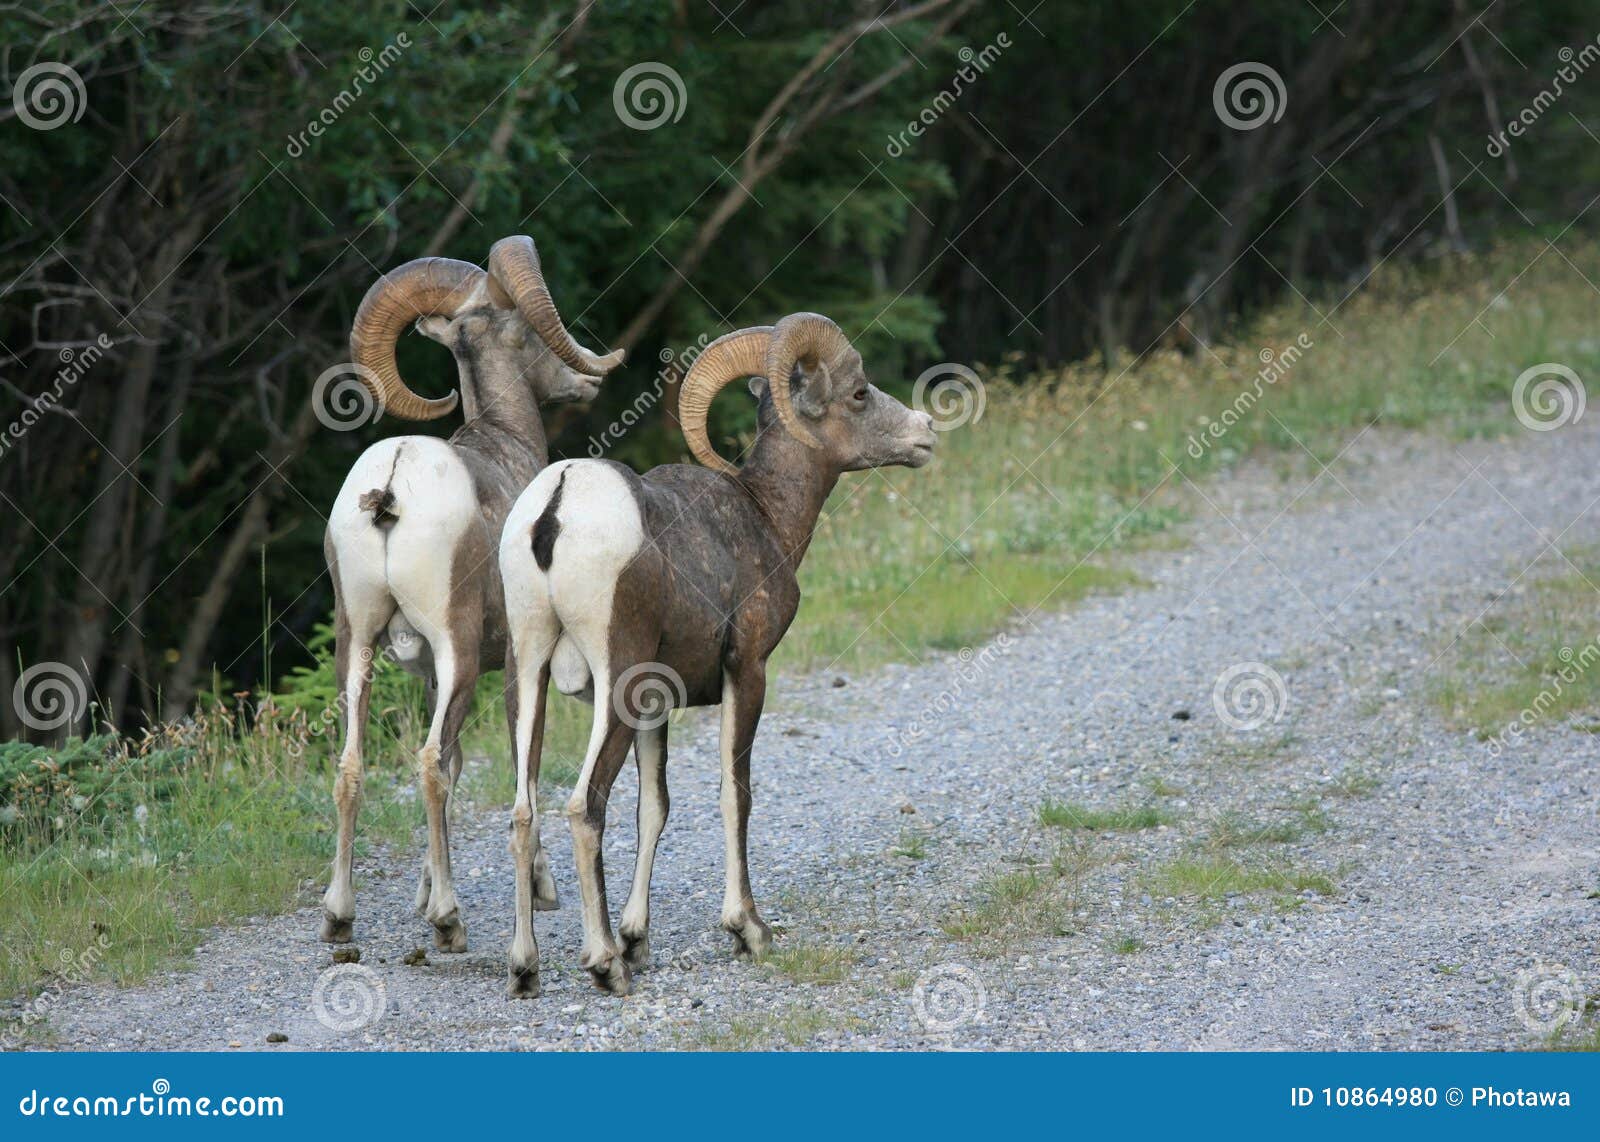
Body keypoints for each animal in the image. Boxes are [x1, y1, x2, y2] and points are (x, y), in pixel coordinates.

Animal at [320, 236, 624, 951]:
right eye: (535, 334)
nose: (587, 381)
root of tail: (390, 487)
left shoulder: (428, 673)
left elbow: (461, 766)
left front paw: (422, 888)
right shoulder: (513, 662)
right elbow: (519, 761)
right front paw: (536, 890)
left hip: (358, 643)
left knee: (352, 766)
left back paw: (340, 916)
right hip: (455, 647)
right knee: (429, 761)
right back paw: (449, 921)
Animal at [496, 313, 937, 996]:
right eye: (860, 393)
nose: (925, 432)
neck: (764, 516)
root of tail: (555, 510)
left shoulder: (657, 706)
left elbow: (655, 809)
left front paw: (640, 938)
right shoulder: (746, 671)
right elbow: (736, 793)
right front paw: (748, 930)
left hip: (528, 677)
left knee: (524, 812)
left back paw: (526, 969)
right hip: (613, 688)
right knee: (582, 806)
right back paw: (605, 965)